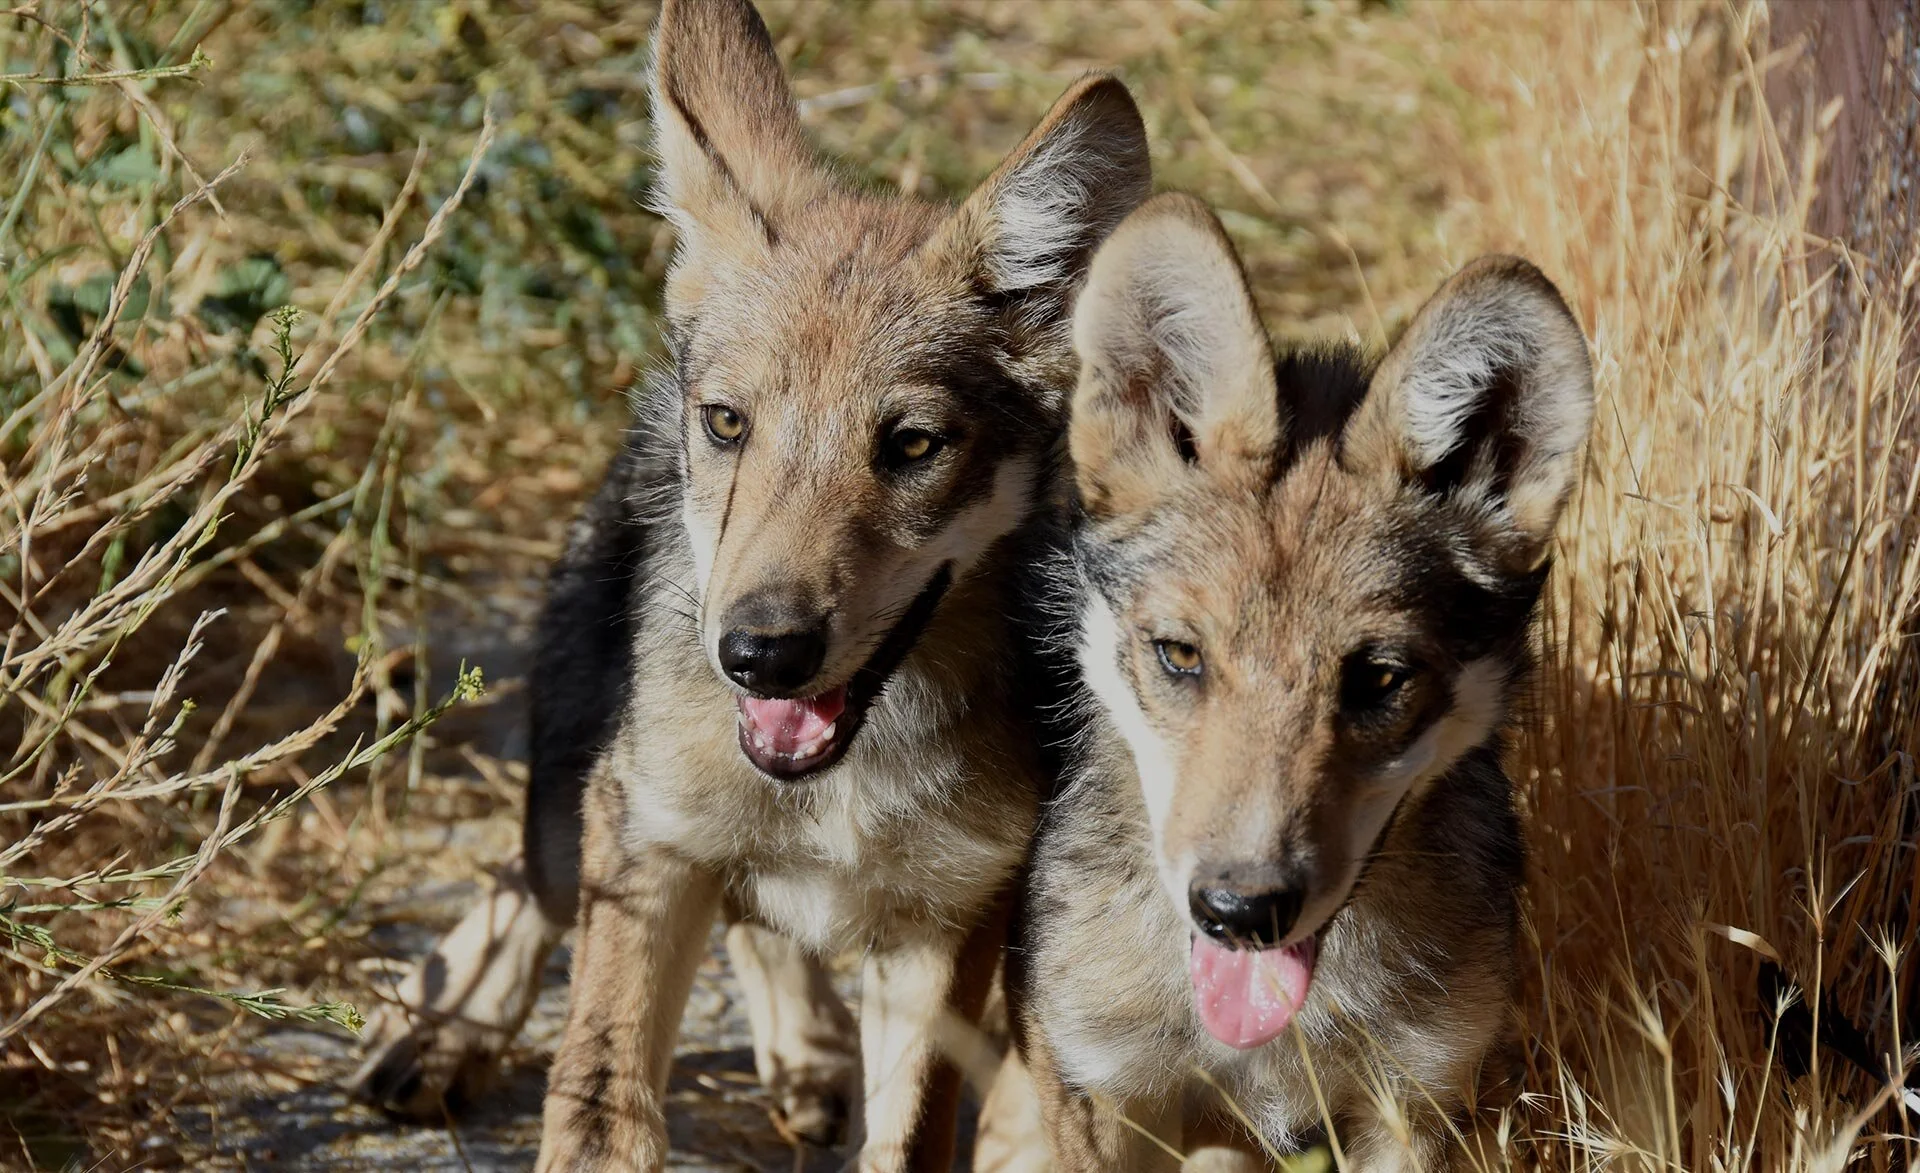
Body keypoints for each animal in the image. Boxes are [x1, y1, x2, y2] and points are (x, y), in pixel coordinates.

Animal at [348, 0, 1150, 1167]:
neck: (839, 787)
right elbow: (598, 1108)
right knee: (529, 879)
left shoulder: (945, 928)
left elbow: (906, 1136)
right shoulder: (648, 849)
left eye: (912, 445)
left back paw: (806, 1052)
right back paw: (440, 1030)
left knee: (764, 927)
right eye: (729, 423)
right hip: (585, 796)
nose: (760, 654)